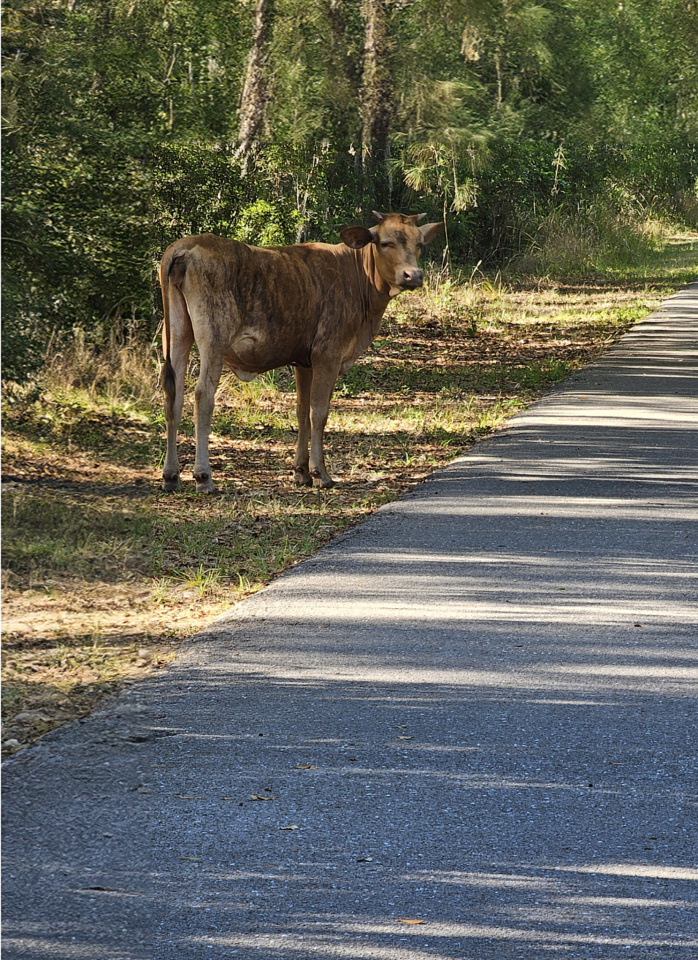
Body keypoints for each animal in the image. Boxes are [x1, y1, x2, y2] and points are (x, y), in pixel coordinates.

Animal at [159, 211, 442, 493]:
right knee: (203, 395)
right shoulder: (328, 355)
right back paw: (203, 476)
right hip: (214, 337)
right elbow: (319, 412)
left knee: (174, 396)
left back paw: (171, 476)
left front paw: (301, 471)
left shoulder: (304, 362)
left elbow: (302, 411)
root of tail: (189, 244)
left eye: (419, 244)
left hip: (176, 333)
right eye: (385, 243)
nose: (413, 275)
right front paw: (320, 473)